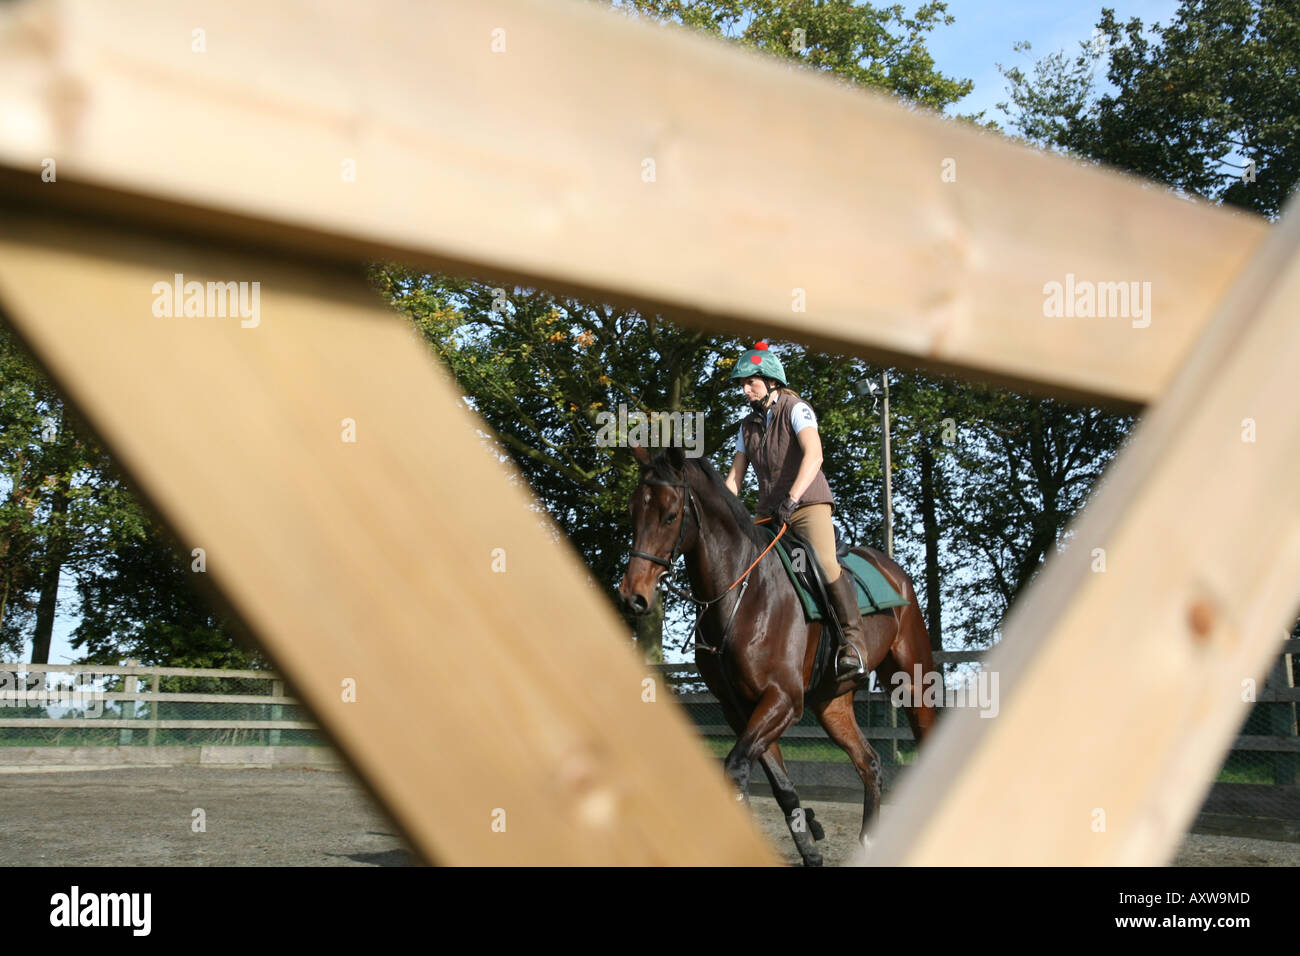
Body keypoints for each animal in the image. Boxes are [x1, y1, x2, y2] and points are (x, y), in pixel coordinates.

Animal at [618, 443, 938, 866]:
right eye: (632, 511)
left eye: (670, 515)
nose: (632, 597)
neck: (743, 594)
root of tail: (892, 569)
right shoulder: (743, 707)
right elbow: (781, 786)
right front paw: (812, 846)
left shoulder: (782, 700)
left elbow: (736, 770)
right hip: (830, 704)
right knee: (869, 762)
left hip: (912, 679)